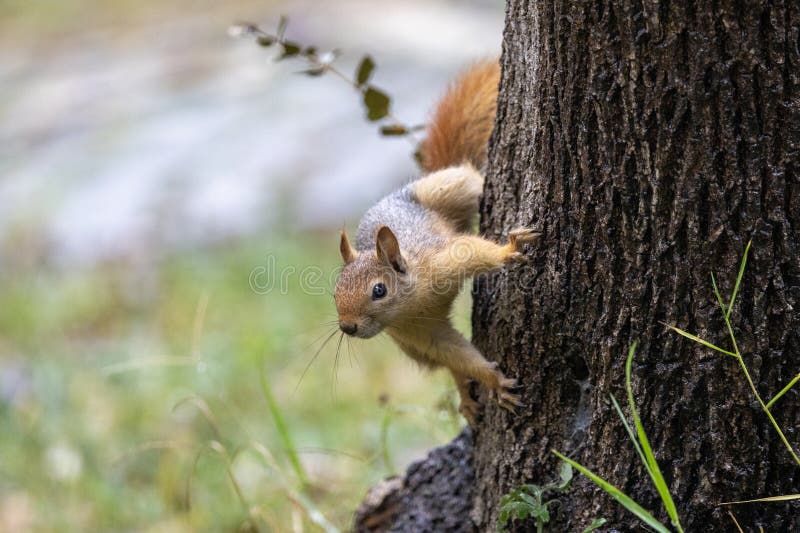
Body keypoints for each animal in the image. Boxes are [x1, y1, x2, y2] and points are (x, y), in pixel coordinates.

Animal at [334, 60, 540, 425]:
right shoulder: (419, 333)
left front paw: (508, 250)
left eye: (378, 290)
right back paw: (465, 395)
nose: (347, 327)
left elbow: (475, 251)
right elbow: (453, 352)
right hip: (409, 348)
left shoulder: (443, 261)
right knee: (442, 364)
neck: (414, 304)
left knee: (469, 180)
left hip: (449, 188)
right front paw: (494, 381)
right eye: (335, 293)